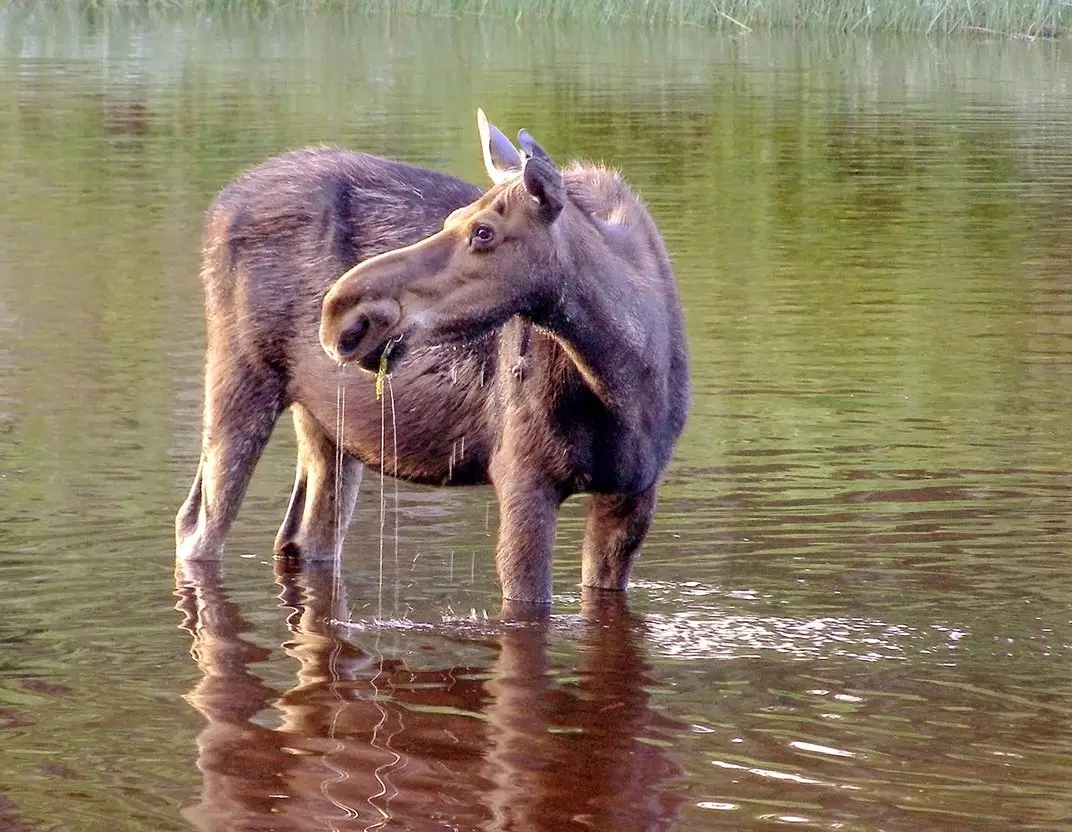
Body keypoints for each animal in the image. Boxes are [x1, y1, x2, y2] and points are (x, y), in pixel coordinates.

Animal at [176, 110, 690, 604]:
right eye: (451, 219)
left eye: (483, 232)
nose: (340, 308)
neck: (625, 379)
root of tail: (216, 208)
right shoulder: (524, 478)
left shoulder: (634, 495)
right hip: (239, 375)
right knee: (196, 525)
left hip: (326, 423)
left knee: (301, 537)